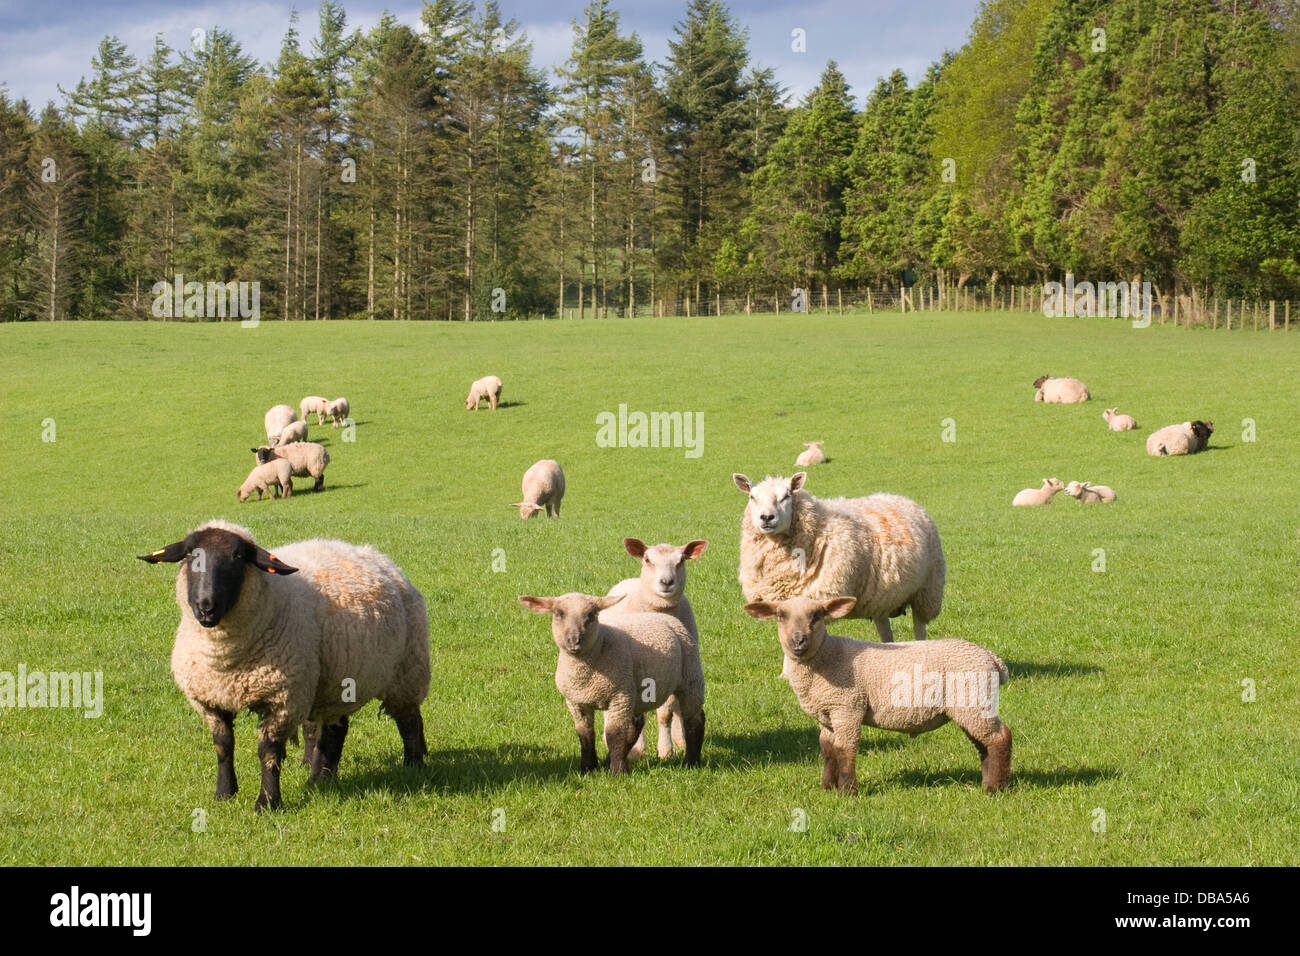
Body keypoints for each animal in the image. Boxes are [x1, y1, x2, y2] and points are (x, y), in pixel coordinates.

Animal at [138, 520, 430, 810]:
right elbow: (223, 746)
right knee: (331, 728)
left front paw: (267, 802)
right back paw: (317, 775)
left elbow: (268, 752)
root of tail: (376, 555)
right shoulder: (209, 699)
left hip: (406, 671)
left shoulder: (281, 699)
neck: (224, 658)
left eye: (238, 556)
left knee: (408, 720)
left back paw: (412, 765)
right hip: (333, 679)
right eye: (189, 556)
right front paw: (224, 793)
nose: (205, 607)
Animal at [519, 592, 705, 775]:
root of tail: (666, 617)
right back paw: (609, 761)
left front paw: (617, 773)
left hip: (691, 677)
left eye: (591, 615)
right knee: (635, 726)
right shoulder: (576, 702)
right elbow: (585, 734)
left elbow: (614, 734)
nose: (574, 640)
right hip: (637, 695)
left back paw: (691, 762)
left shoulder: (620, 696)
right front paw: (587, 768)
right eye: (558, 614)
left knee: (694, 719)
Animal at [602, 537, 708, 760]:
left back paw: (680, 739)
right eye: (647, 560)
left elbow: (666, 712)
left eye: (681, 561)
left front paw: (666, 749)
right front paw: (637, 750)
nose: (666, 582)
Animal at [733, 472, 945, 644]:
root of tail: (899, 497)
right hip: (881, 598)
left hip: (927, 591)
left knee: (919, 628)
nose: (766, 518)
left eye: (786, 496)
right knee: (885, 631)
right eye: (752, 497)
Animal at [743, 596, 1011, 795]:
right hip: (972, 703)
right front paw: (827, 787)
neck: (826, 657)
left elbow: (845, 749)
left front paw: (847, 791)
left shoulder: (847, 708)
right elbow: (828, 751)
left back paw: (996, 789)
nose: (798, 641)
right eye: (781, 615)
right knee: (984, 744)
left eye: (817, 615)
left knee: (1000, 738)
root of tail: (992, 658)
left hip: (973, 698)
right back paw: (988, 782)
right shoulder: (827, 715)